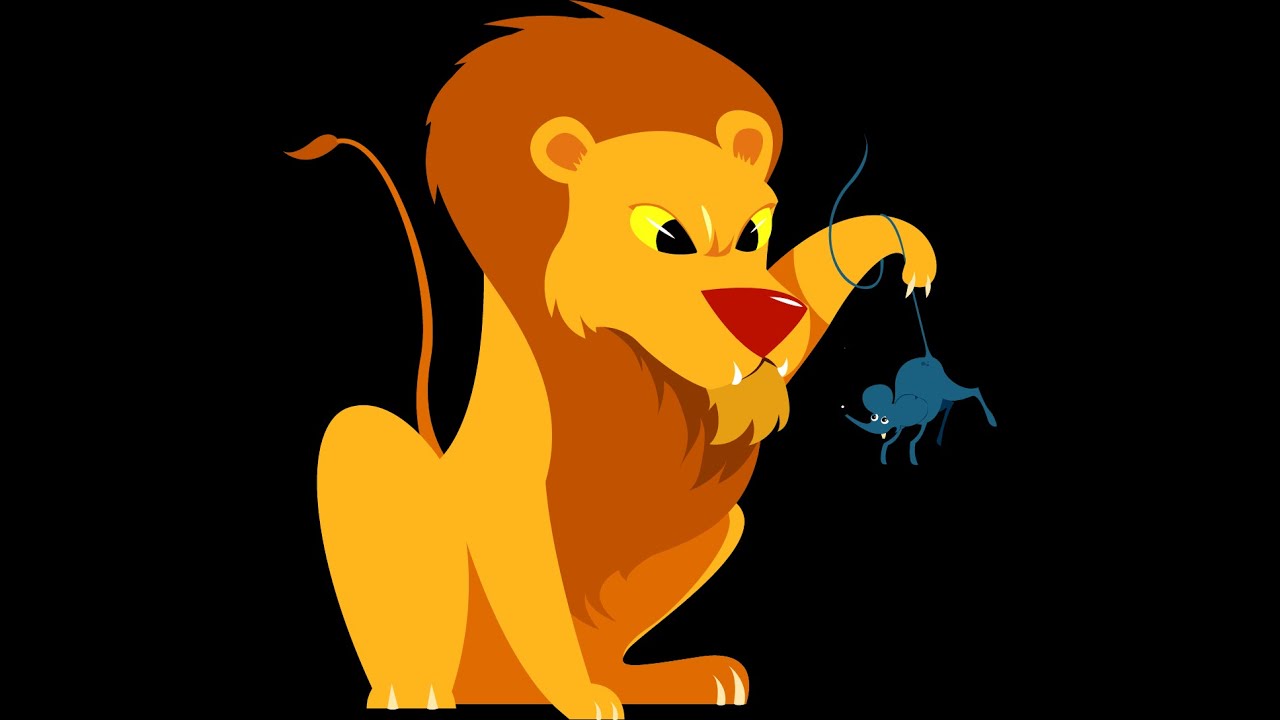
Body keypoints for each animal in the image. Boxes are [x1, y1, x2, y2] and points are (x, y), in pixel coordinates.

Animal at [288, 3, 936, 718]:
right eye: (665, 234)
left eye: (754, 234)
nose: (772, 315)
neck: (618, 359)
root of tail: (494, 689)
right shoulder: (511, 490)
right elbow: (533, 596)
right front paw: (578, 698)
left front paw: (899, 240)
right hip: (364, 448)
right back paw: (419, 692)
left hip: (720, 529)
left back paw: (674, 679)